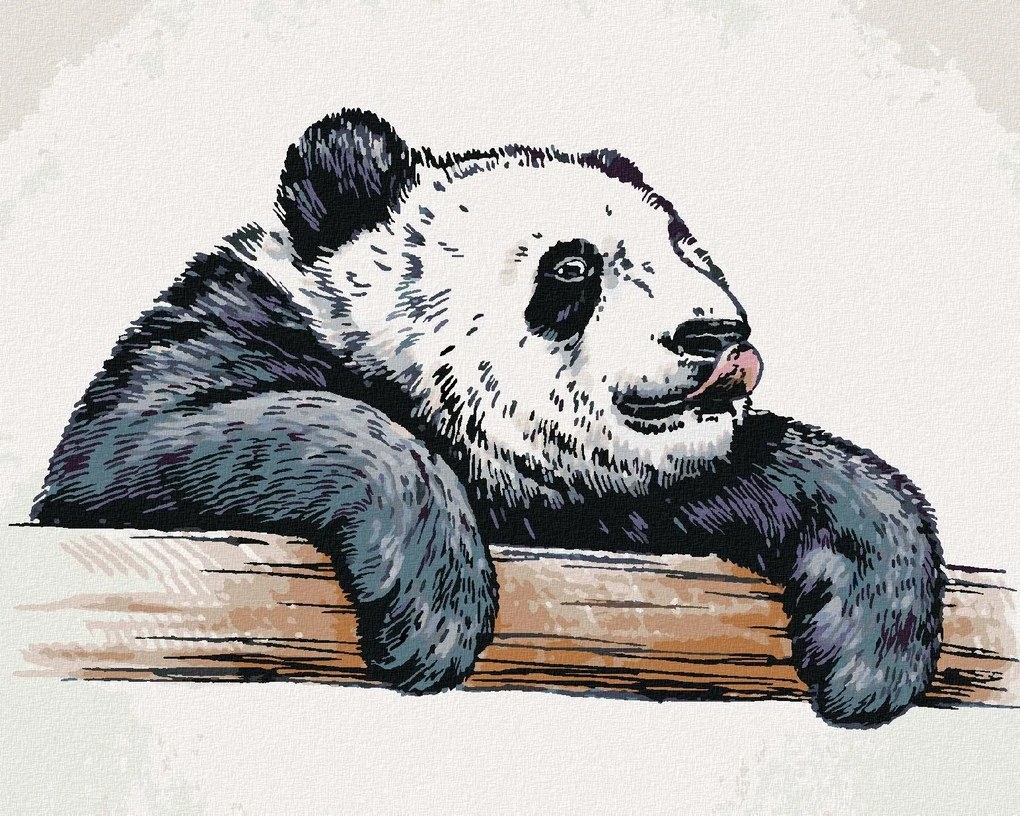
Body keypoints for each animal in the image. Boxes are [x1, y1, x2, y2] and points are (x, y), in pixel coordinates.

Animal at [32, 109, 943, 725]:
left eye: (689, 250)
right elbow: (152, 448)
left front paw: (873, 655)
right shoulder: (220, 334)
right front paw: (432, 615)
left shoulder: (598, 502)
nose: (717, 335)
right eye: (572, 267)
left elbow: (757, 475)